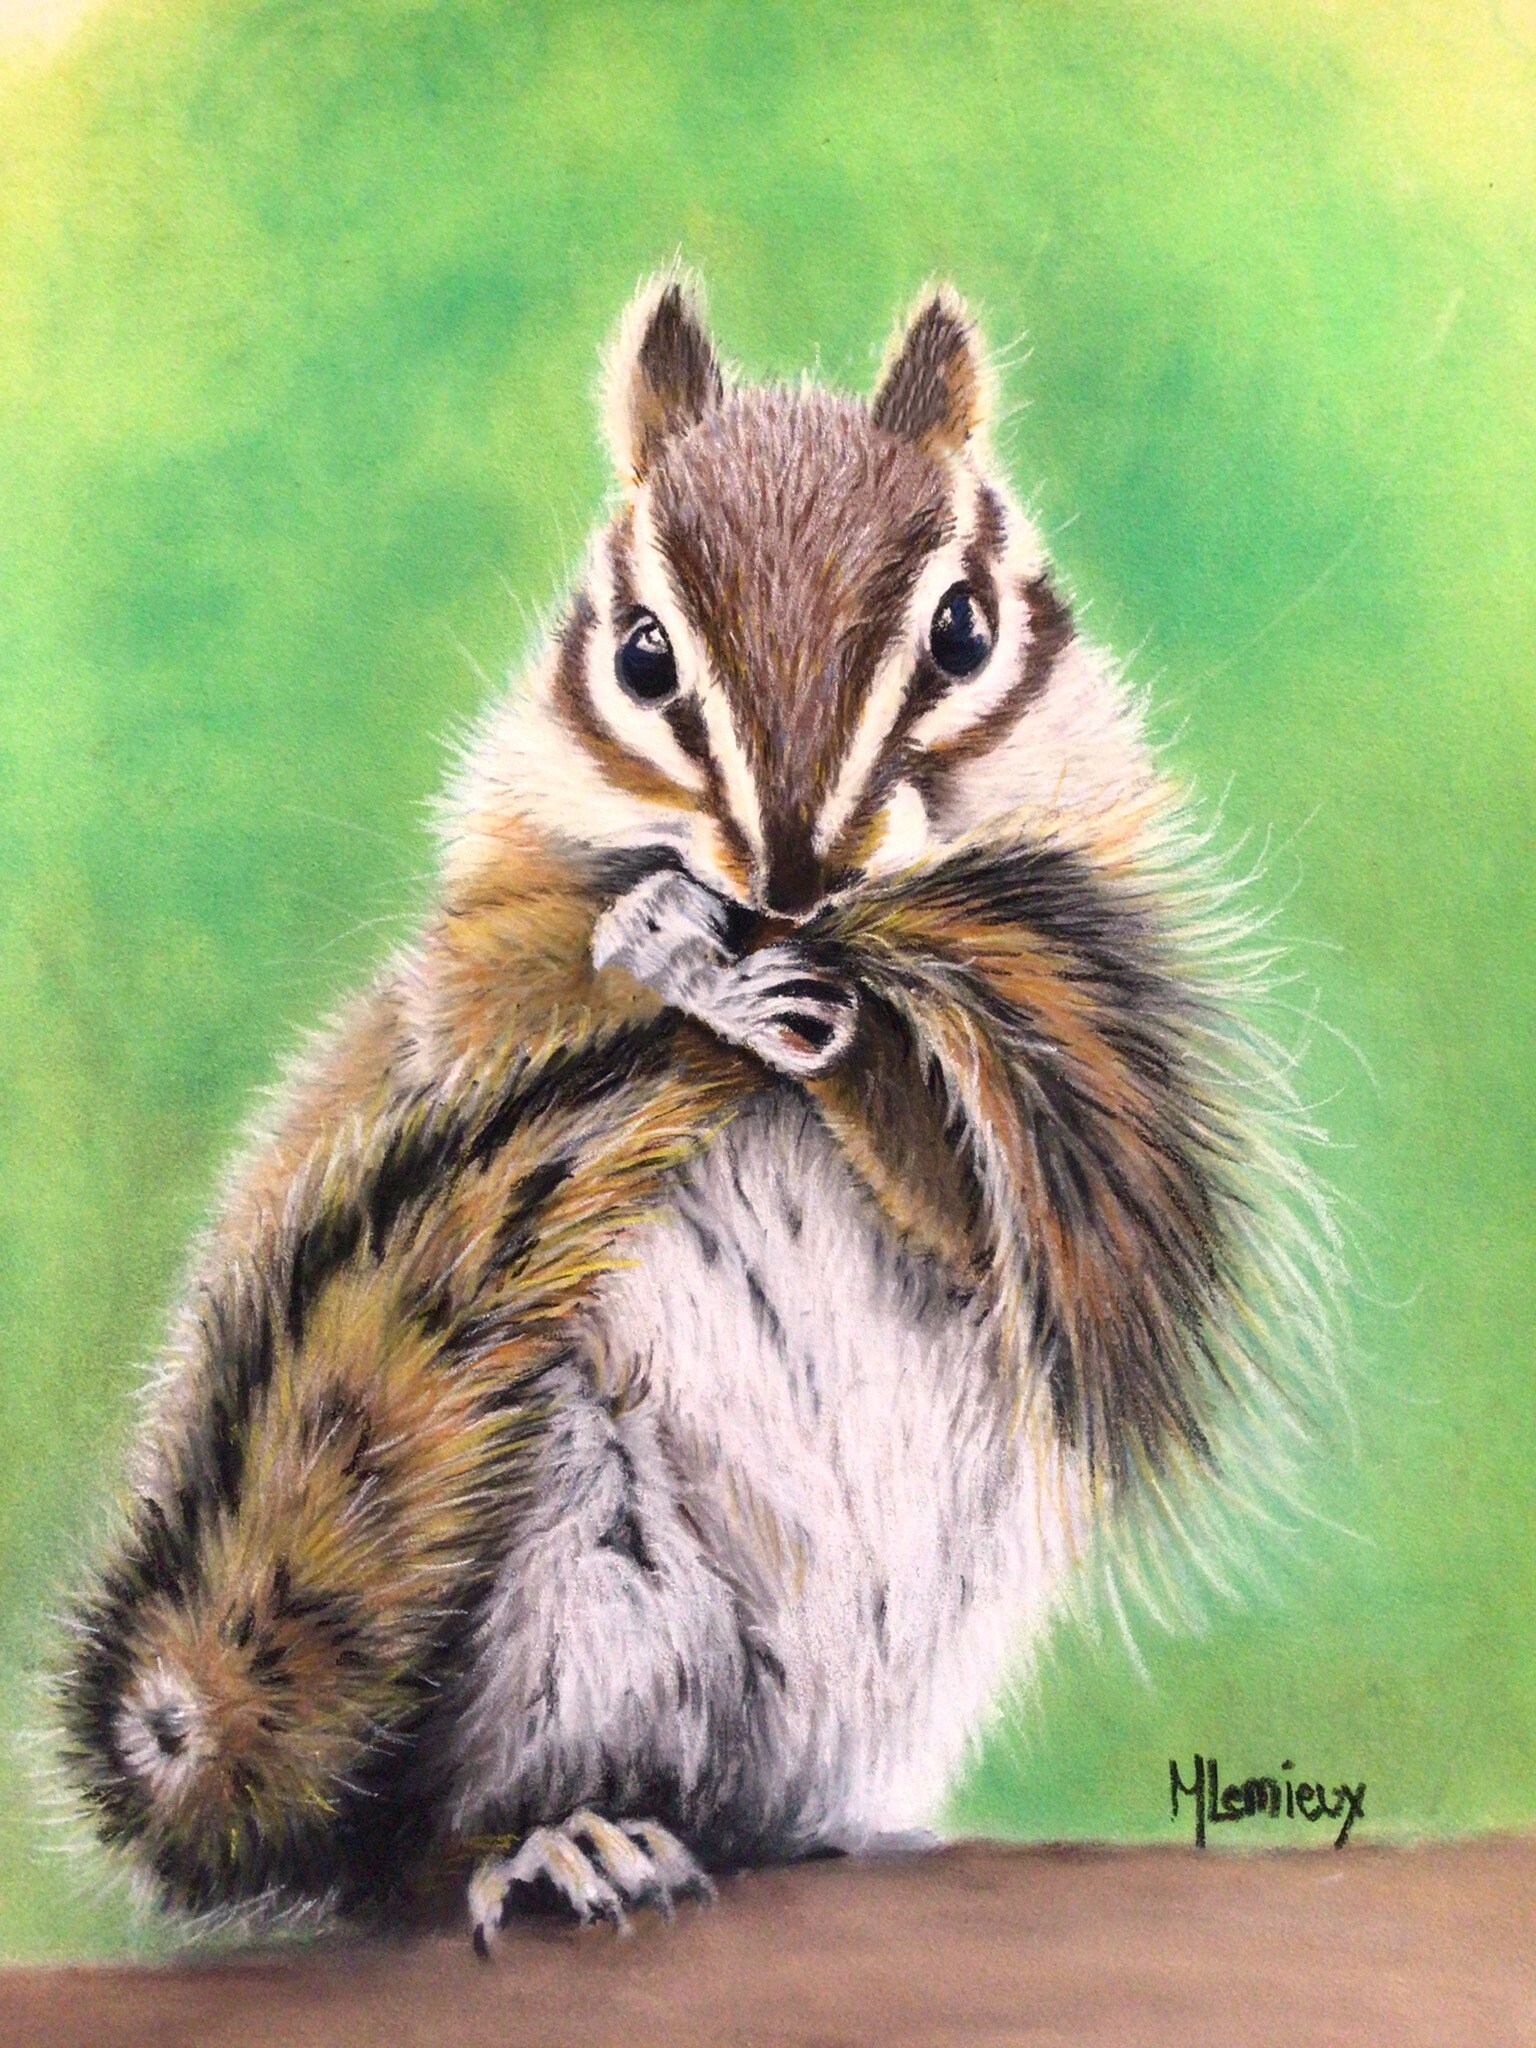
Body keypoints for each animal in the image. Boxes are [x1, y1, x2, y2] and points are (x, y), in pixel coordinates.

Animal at [58, 273, 1335, 1948]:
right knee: (438, 1853)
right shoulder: (473, 973)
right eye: (643, 652)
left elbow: (971, 1207)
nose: (792, 878)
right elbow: (515, 1006)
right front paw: (670, 960)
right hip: (580, 1565)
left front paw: (830, 1027)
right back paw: (557, 1844)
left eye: (965, 627)